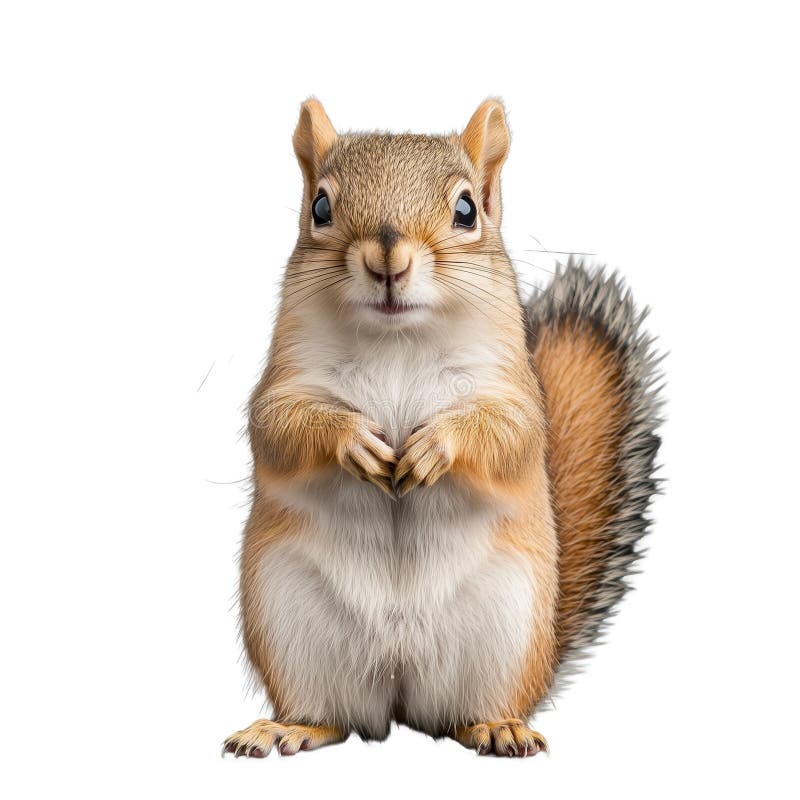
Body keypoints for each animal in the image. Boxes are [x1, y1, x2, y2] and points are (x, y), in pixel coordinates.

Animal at [223, 99, 662, 758]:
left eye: (466, 209)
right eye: (320, 206)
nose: (388, 259)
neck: (398, 337)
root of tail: (400, 694)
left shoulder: (512, 389)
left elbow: (511, 434)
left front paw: (434, 446)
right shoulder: (286, 379)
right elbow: (279, 426)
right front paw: (354, 441)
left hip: (506, 631)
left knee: (465, 714)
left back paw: (498, 726)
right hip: (289, 623)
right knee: (332, 716)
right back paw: (288, 727)